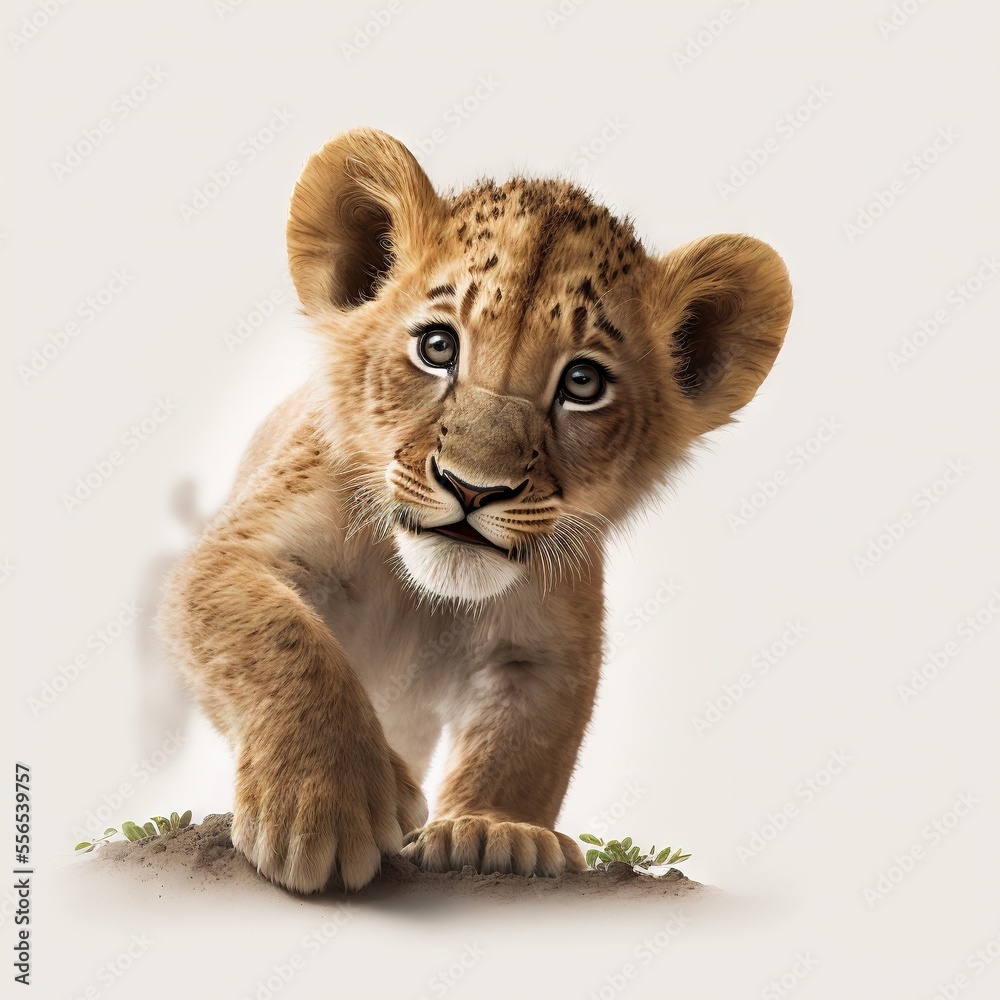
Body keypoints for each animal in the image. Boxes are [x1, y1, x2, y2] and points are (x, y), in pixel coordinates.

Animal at [158, 127, 792, 893]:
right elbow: (282, 640)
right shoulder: (238, 552)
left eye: (583, 383)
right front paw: (323, 806)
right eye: (438, 347)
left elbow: (526, 743)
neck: (422, 595)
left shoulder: (546, 640)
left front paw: (494, 830)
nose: (473, 489)